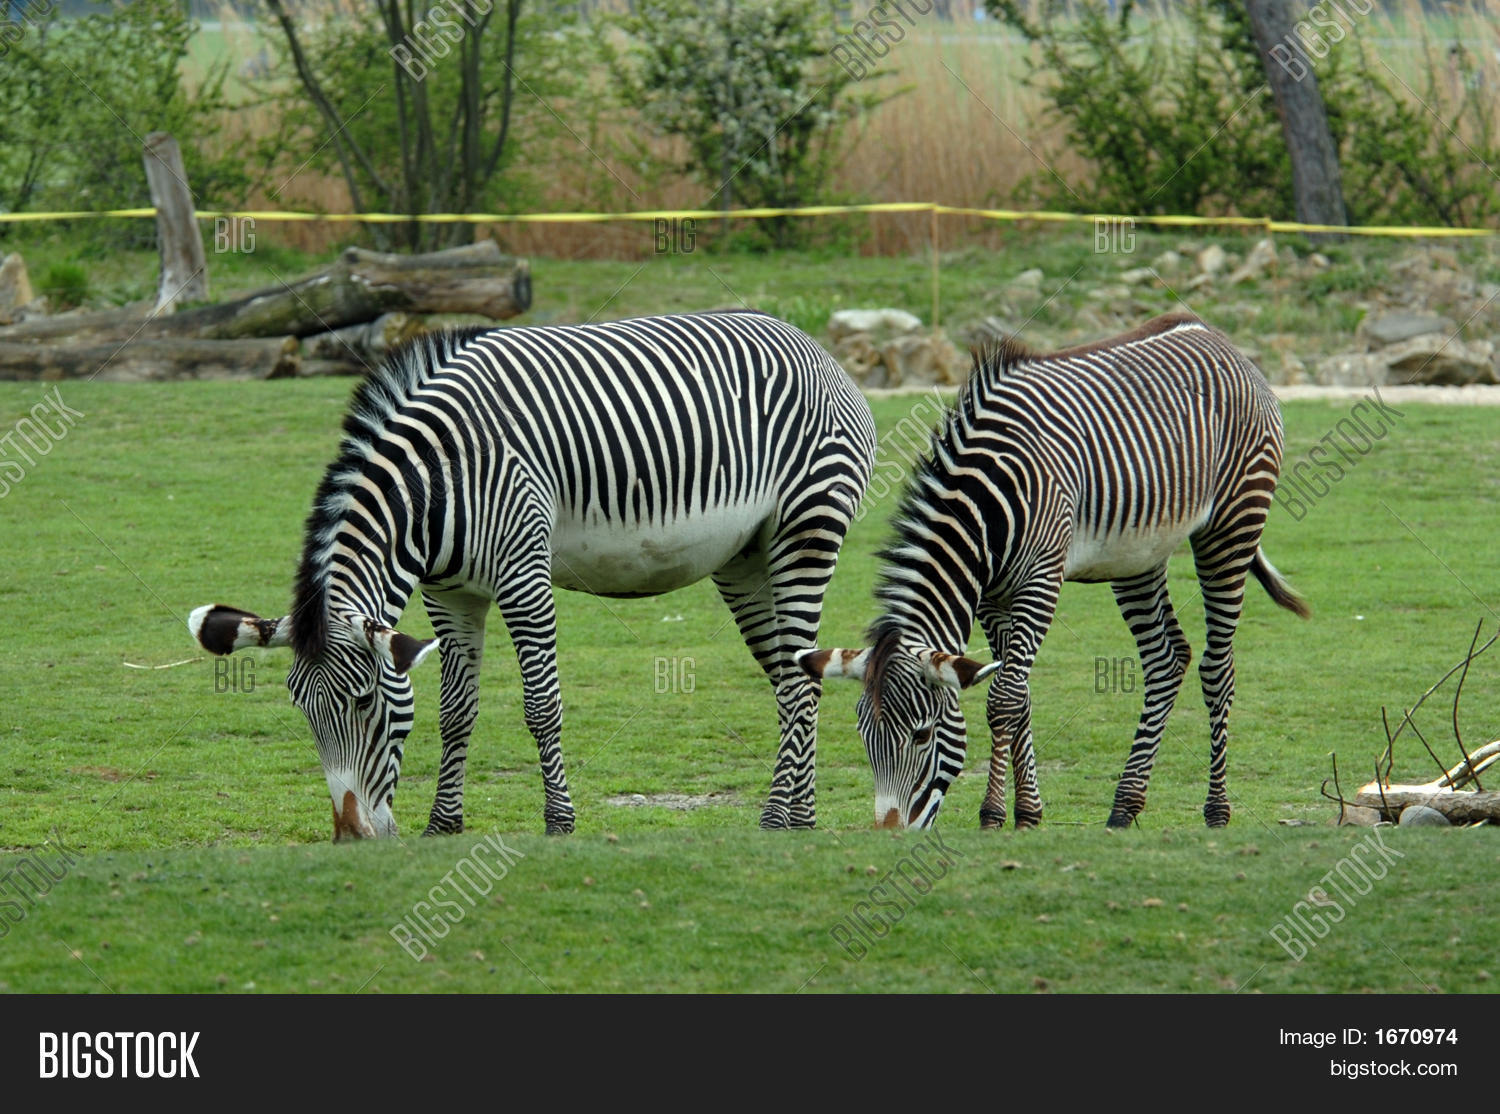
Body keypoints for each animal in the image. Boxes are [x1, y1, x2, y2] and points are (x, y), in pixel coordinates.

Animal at [188, 310, 876, 840]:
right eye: (300, 707)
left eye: (363, 702)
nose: (351, 837)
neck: (438, 481)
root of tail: (813, 345)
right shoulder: (450, 594)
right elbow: (456, 710)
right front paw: (443, 824)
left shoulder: (523, 576)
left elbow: (541, 705)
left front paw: (559, 820)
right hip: (744, 559)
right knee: (792, 677)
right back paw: (798, 815)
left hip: (806, 531)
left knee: (802, 679)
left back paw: (778, 817)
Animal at [798, 311, 1307, 831]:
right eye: (863, 735)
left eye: (921, 735)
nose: (889, 833)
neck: (984, 509)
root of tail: (1213, 334)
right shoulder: (992, 598)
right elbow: (1018, 695)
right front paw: (1027, 812)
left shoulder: (1039, 582)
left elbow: (1003, 699)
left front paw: (992, 813)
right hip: (1138, 554)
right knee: (1166, 658)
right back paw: (1124, 805)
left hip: (1232, 523)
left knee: (1217, 667)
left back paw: (1217, 809)